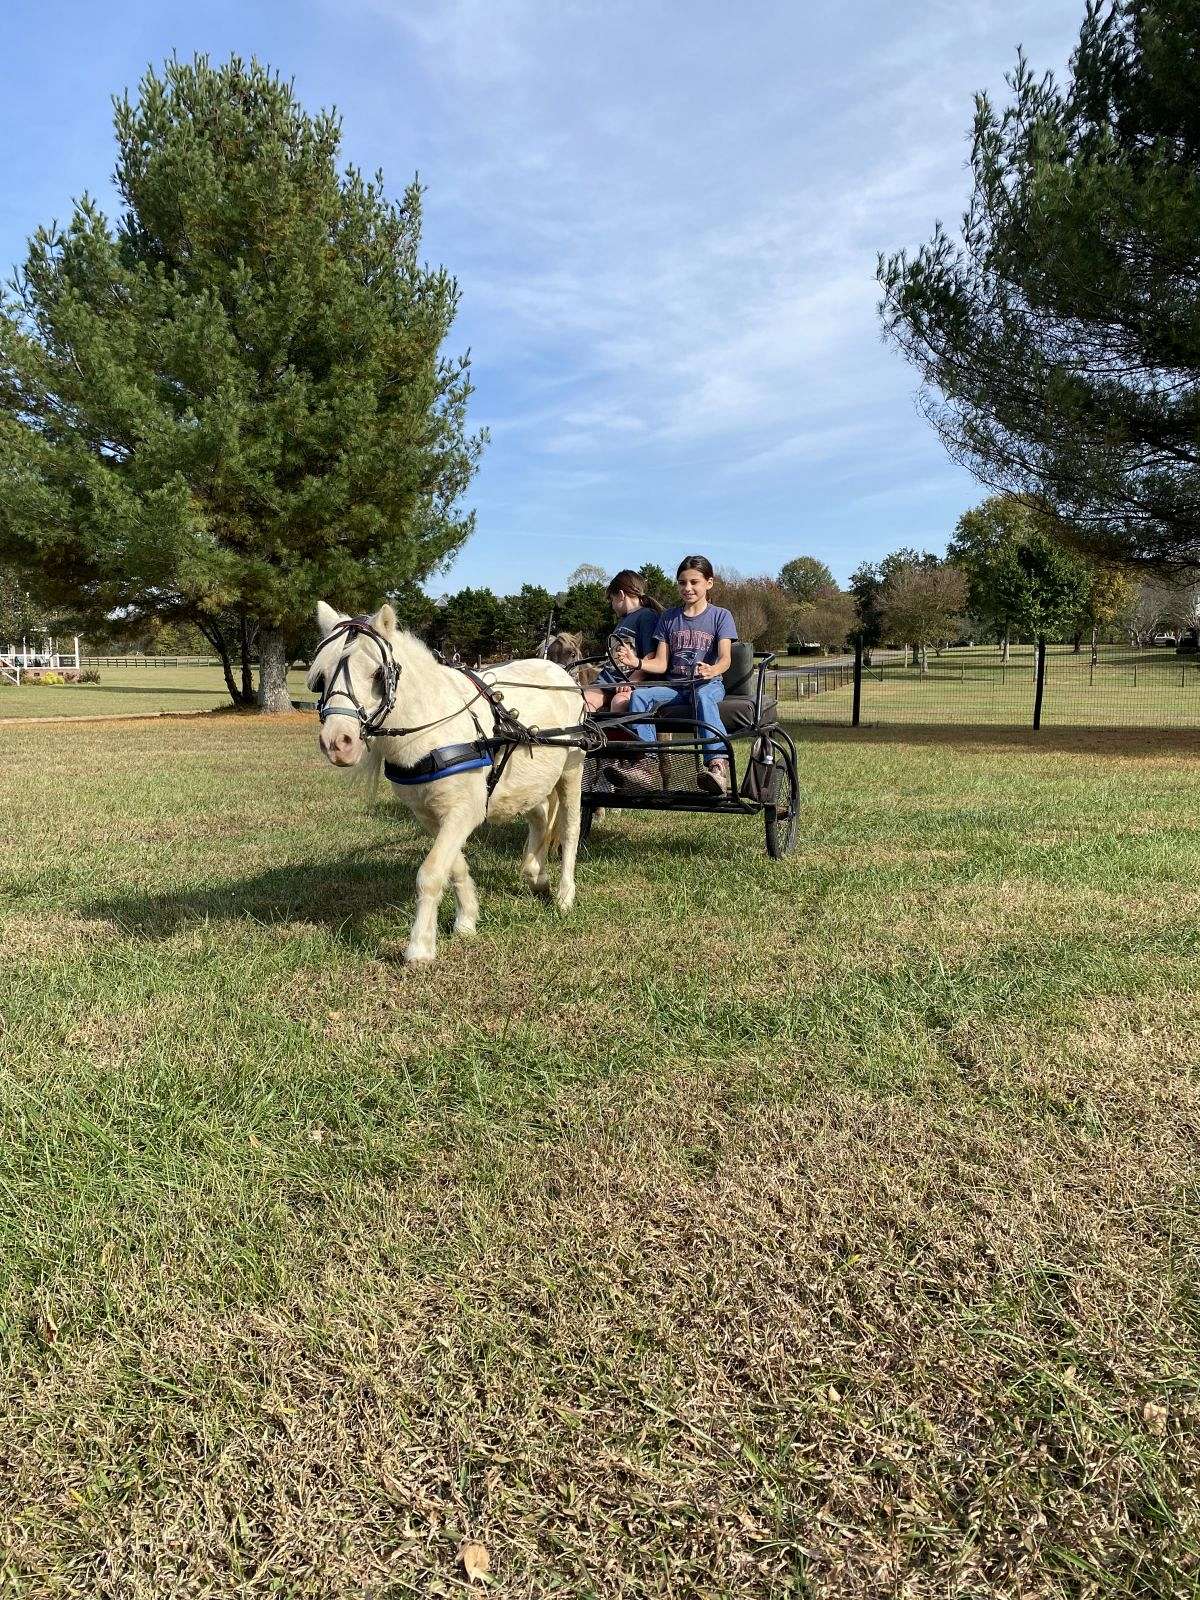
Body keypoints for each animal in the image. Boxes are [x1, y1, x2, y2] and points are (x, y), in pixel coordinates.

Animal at [310, 602, 586, 964]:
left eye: (377, 675)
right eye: (322, 678)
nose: (337, 742)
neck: (432, 730)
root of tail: (561, 673)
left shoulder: (464, 810)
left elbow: (430, 873)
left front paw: (420, 947)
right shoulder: (428, 815)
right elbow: (453, 867)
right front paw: (467, 918)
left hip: (572, 770)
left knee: (569, 828)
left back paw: (565, 894)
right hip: (527, 779)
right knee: (539, 815)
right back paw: (536, 874)